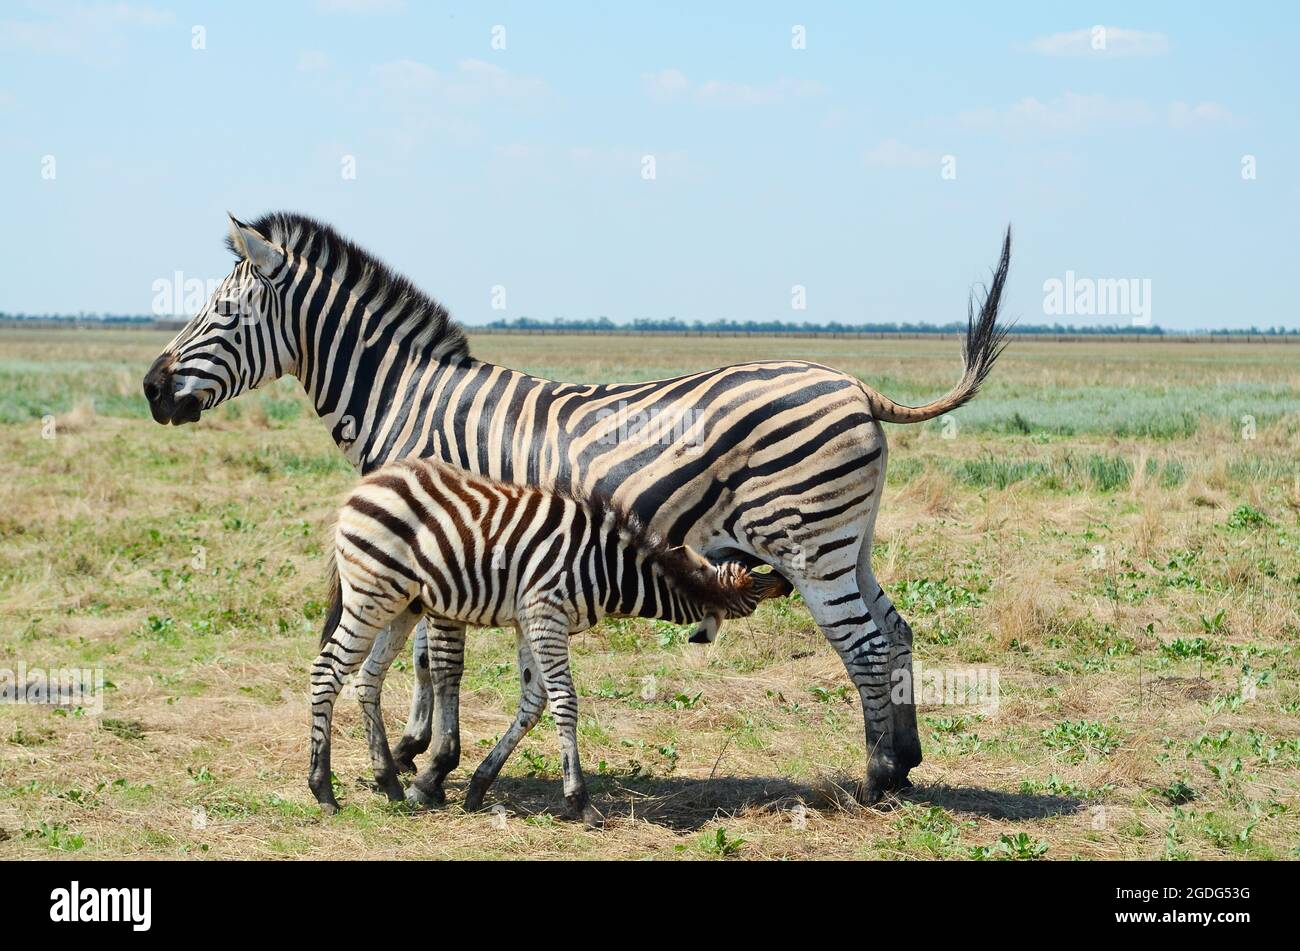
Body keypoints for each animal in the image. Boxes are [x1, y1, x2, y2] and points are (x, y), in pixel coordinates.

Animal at [313, 457, 791, 825]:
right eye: (752, 589)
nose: (786, 580)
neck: (608, 568)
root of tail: (368, 485)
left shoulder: (532, 622)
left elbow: (533, 702)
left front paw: (476, 786)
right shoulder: (546, 614)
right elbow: (564, 701)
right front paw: (579, 803)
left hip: (403, 603)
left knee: (367, 677)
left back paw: (388, 782)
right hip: (372, 592)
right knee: (327, 671)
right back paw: (323, 791)